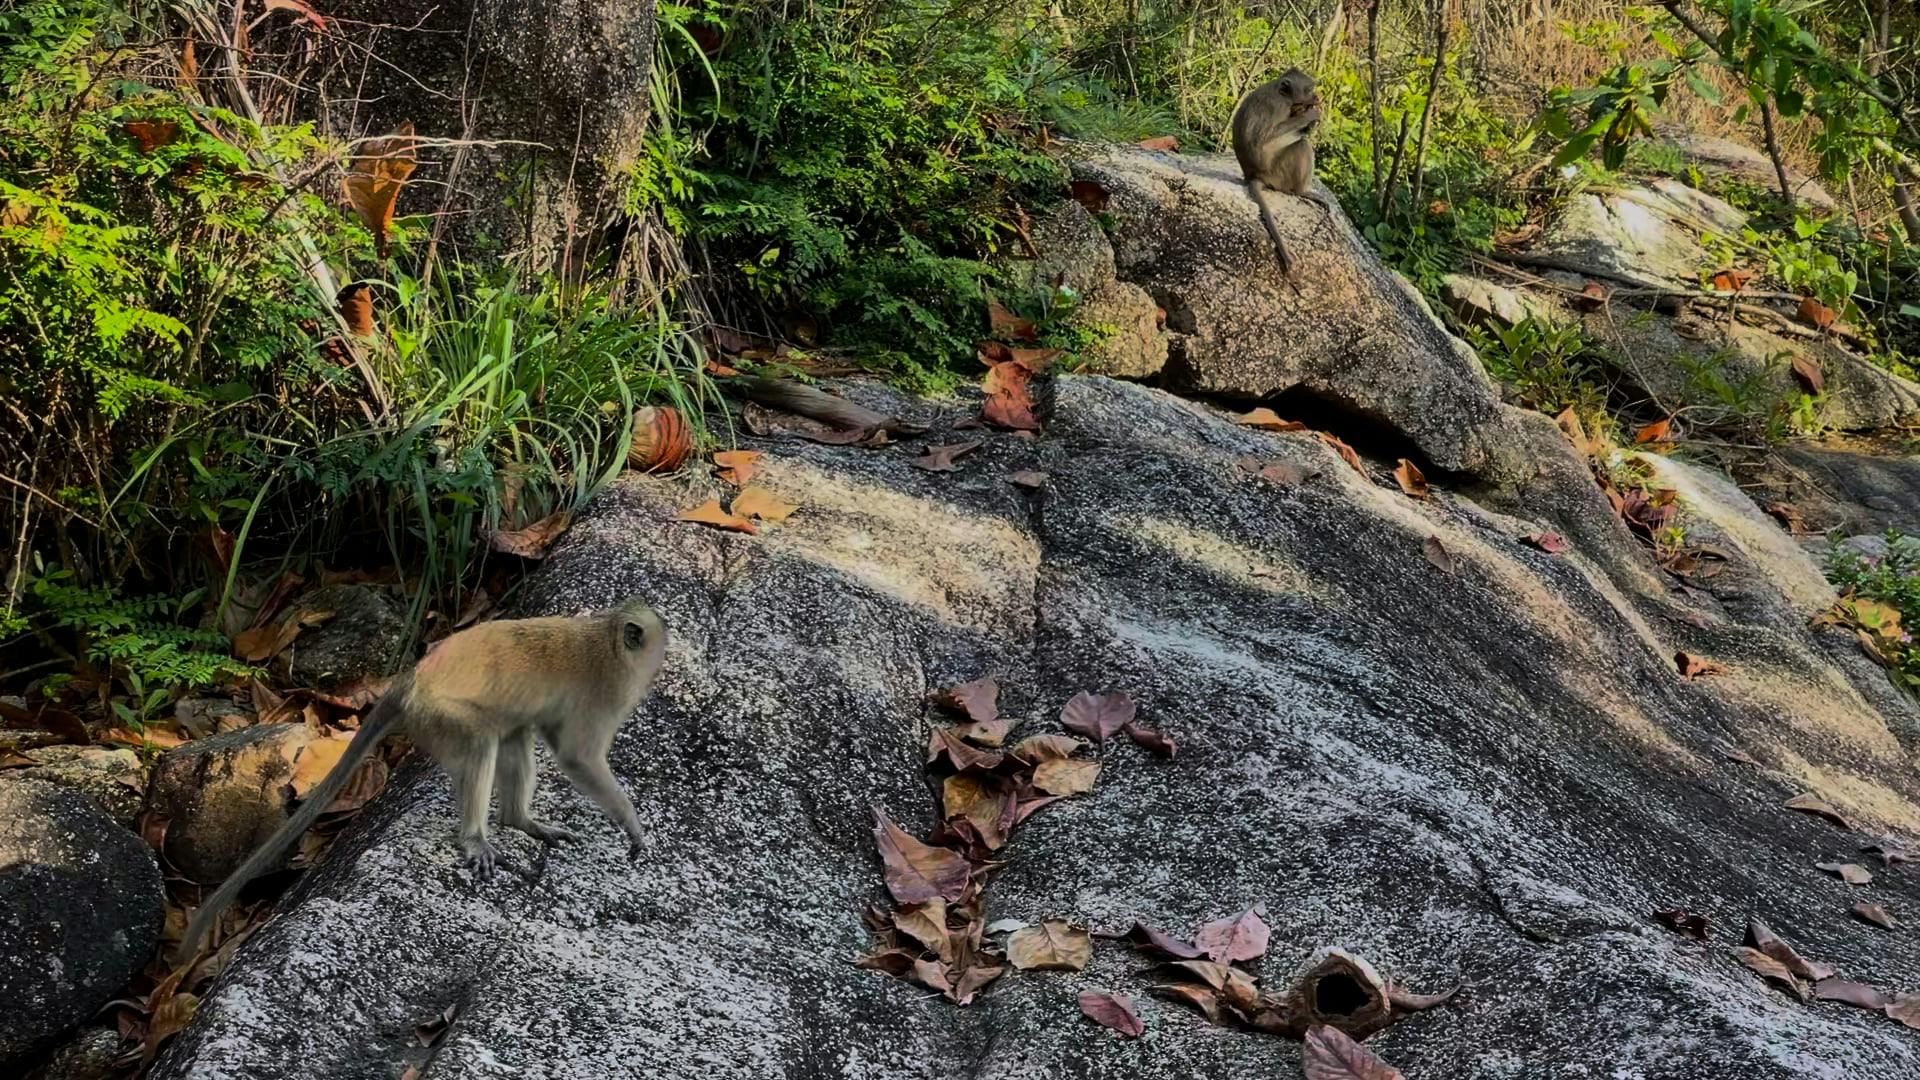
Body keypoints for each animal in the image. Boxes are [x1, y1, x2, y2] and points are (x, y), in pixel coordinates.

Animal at [174, 597, 668, 964]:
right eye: (660, 637)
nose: (667, 653)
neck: (607, 639)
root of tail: (409, 680)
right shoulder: (605, 694)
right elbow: (577, 757)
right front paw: (632, 825)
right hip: (441, 716)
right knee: (481, 741)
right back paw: (474, 838)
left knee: (513, 733)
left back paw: (519, 821)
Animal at [1231, 67, 1328, 279]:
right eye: (1309, 89)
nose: (1316, 97)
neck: (1281, 93)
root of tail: (1254, 175)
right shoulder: (1277, 106)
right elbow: (1265, 136)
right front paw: (1310, 116)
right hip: (1278, 172)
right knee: (1301, 146)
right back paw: (1302, 191)